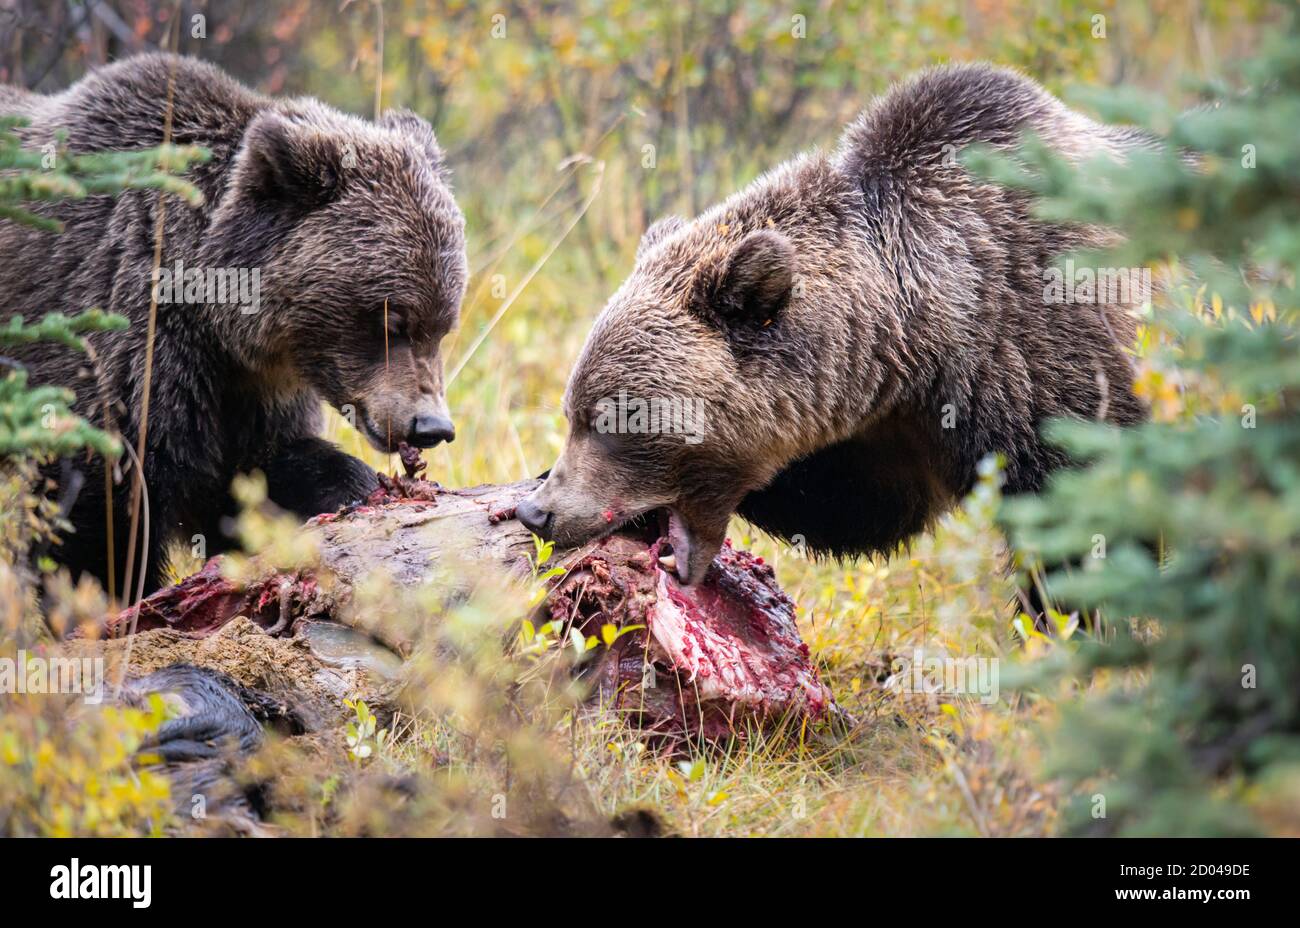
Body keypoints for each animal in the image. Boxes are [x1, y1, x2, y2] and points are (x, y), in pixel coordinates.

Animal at [1, 54, 468, 596]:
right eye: (393, 319)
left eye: (444, 324)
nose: (432, 426)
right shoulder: (120, 345)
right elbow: (97, 523)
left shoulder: (251, 392)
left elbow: (265, 470)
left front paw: (353, 484)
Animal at [515, 63, 1150, 587]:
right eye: (572, 412)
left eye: (612, 418)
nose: (538, 512)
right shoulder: (890, 430)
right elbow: (854, 508)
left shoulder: (1044, 359)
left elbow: (1082, 531)